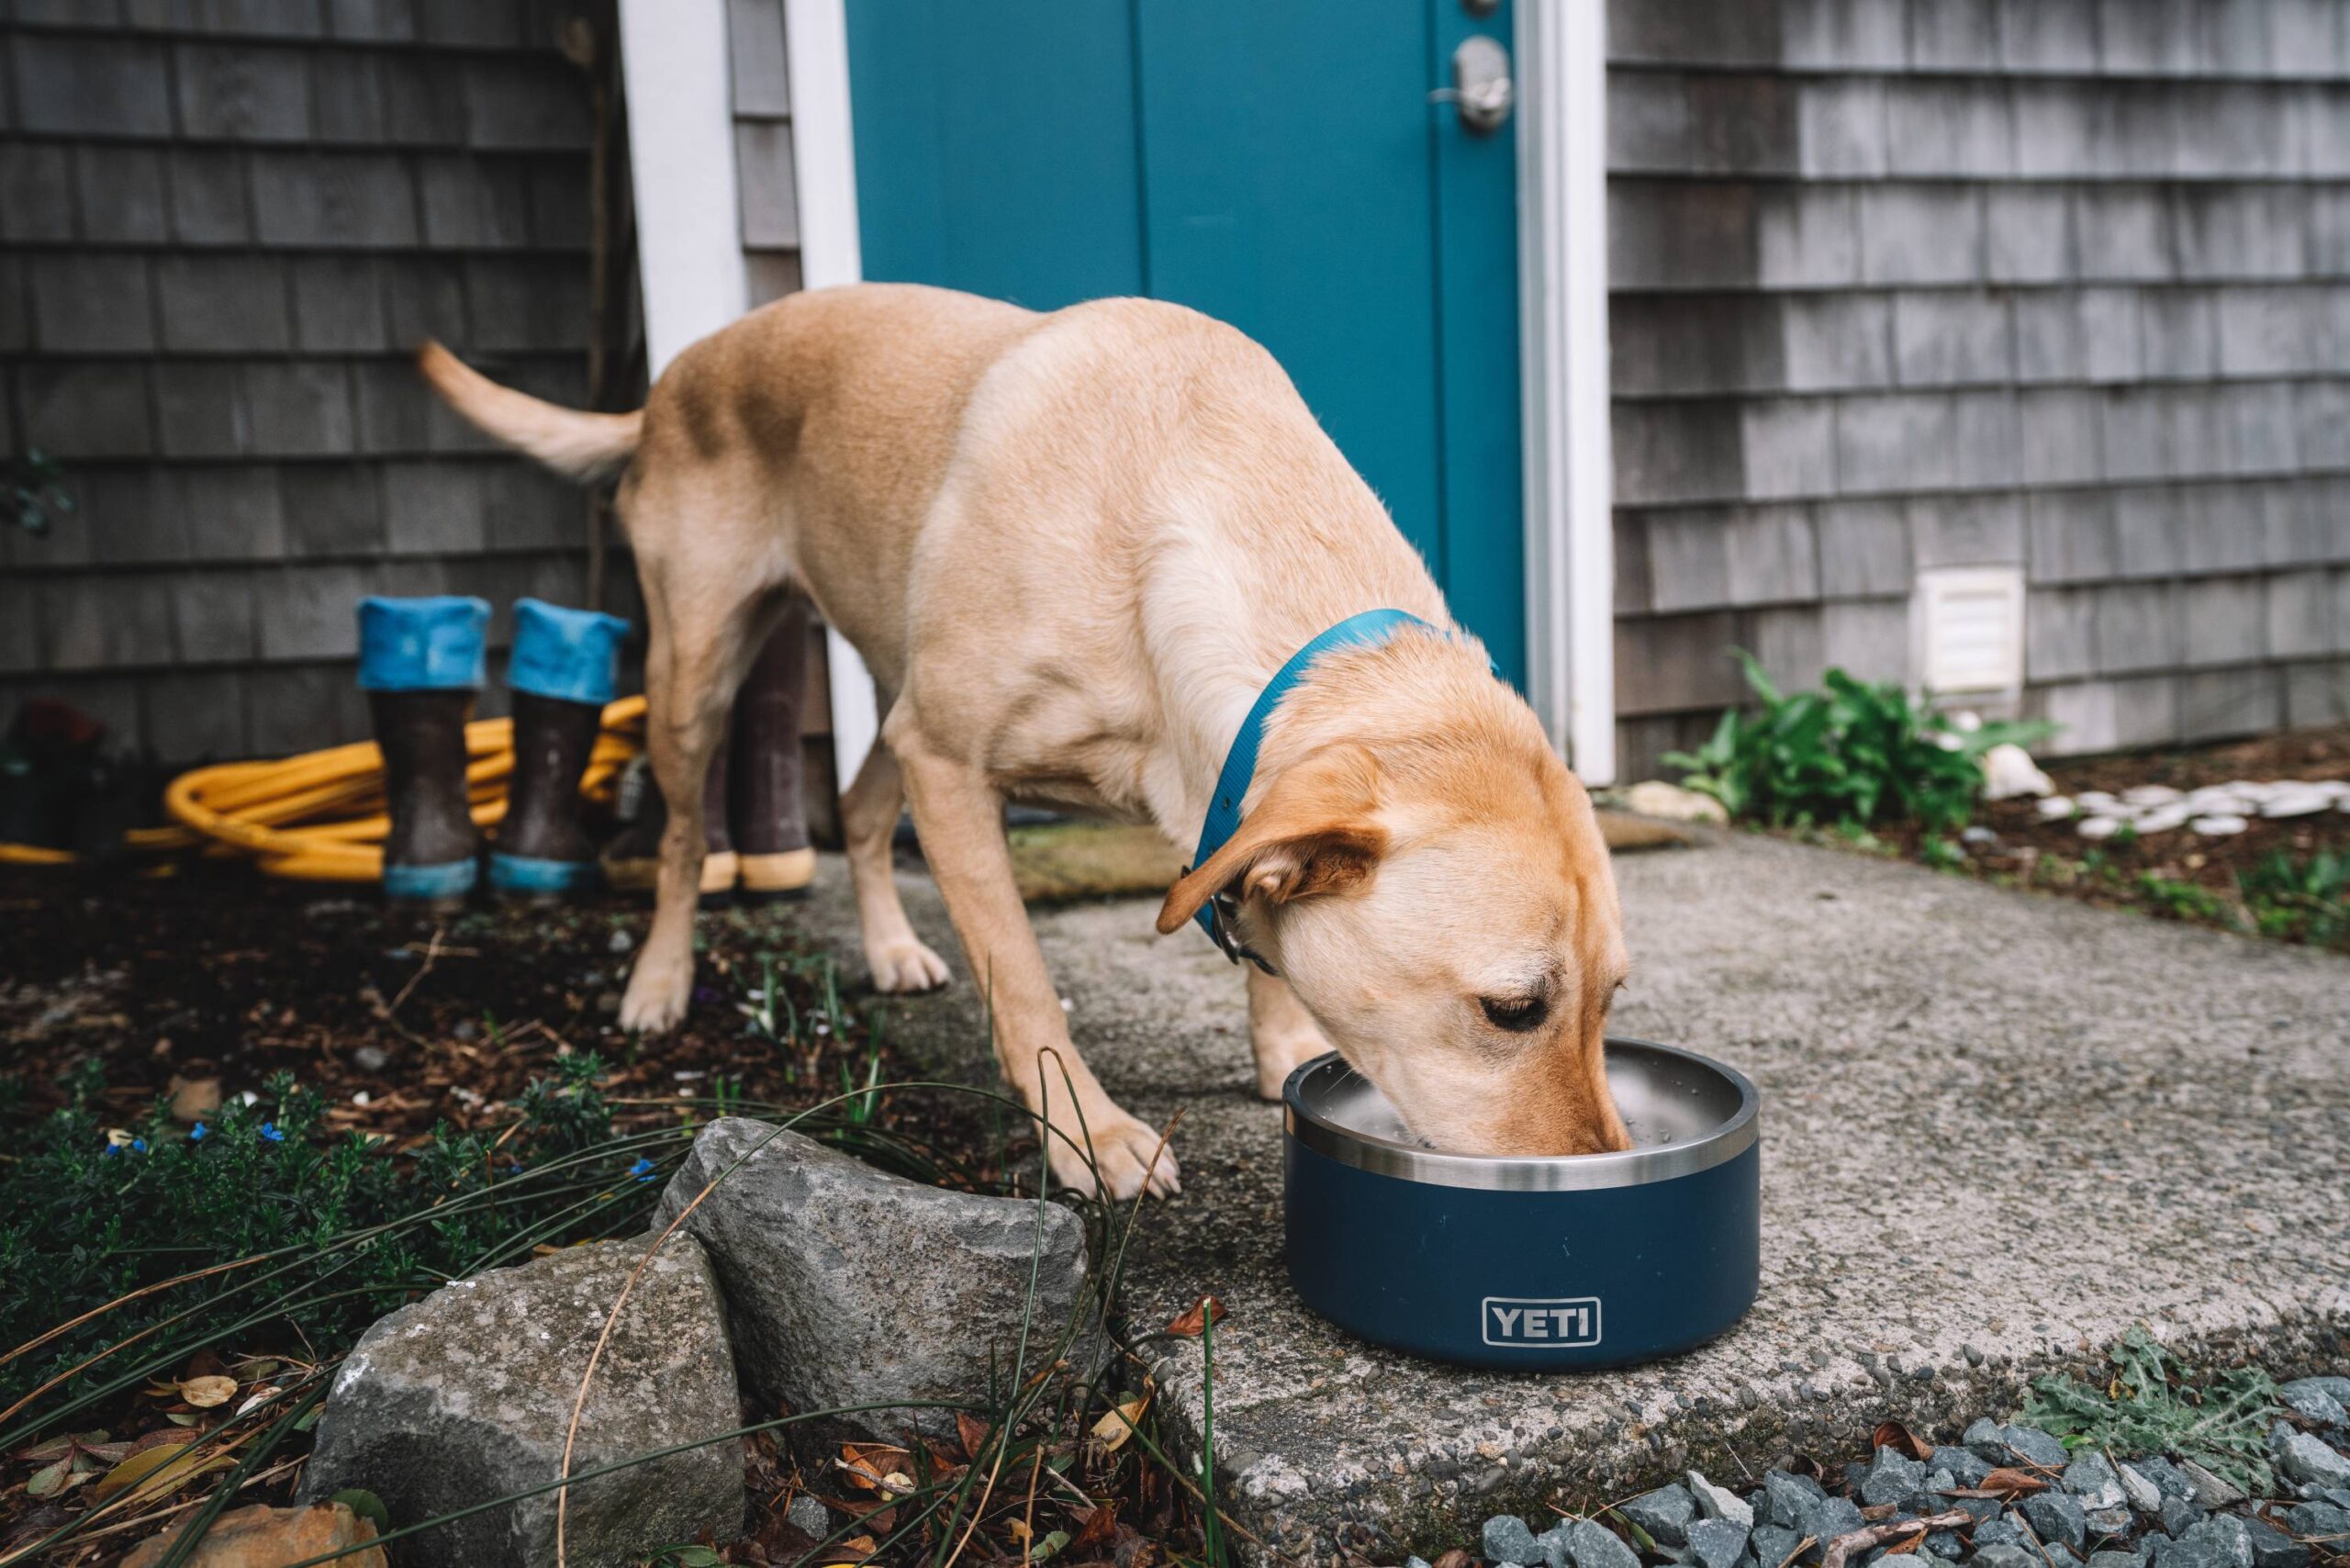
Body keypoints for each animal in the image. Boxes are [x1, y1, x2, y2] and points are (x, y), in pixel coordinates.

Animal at [422, 286, 1626, 1204]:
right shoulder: (953, 768)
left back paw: (890, 947)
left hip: (891, 692)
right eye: (1513, 1010)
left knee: (858, 811)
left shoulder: (1208, 792)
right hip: (697, 674)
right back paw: (659, 982)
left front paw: (1285, 1047)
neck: (1180, 504)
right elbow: (1028, 990)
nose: (1602, 1171)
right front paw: (1090, 1135)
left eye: (1612, 999)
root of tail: (675, 376)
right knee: (682, 840)